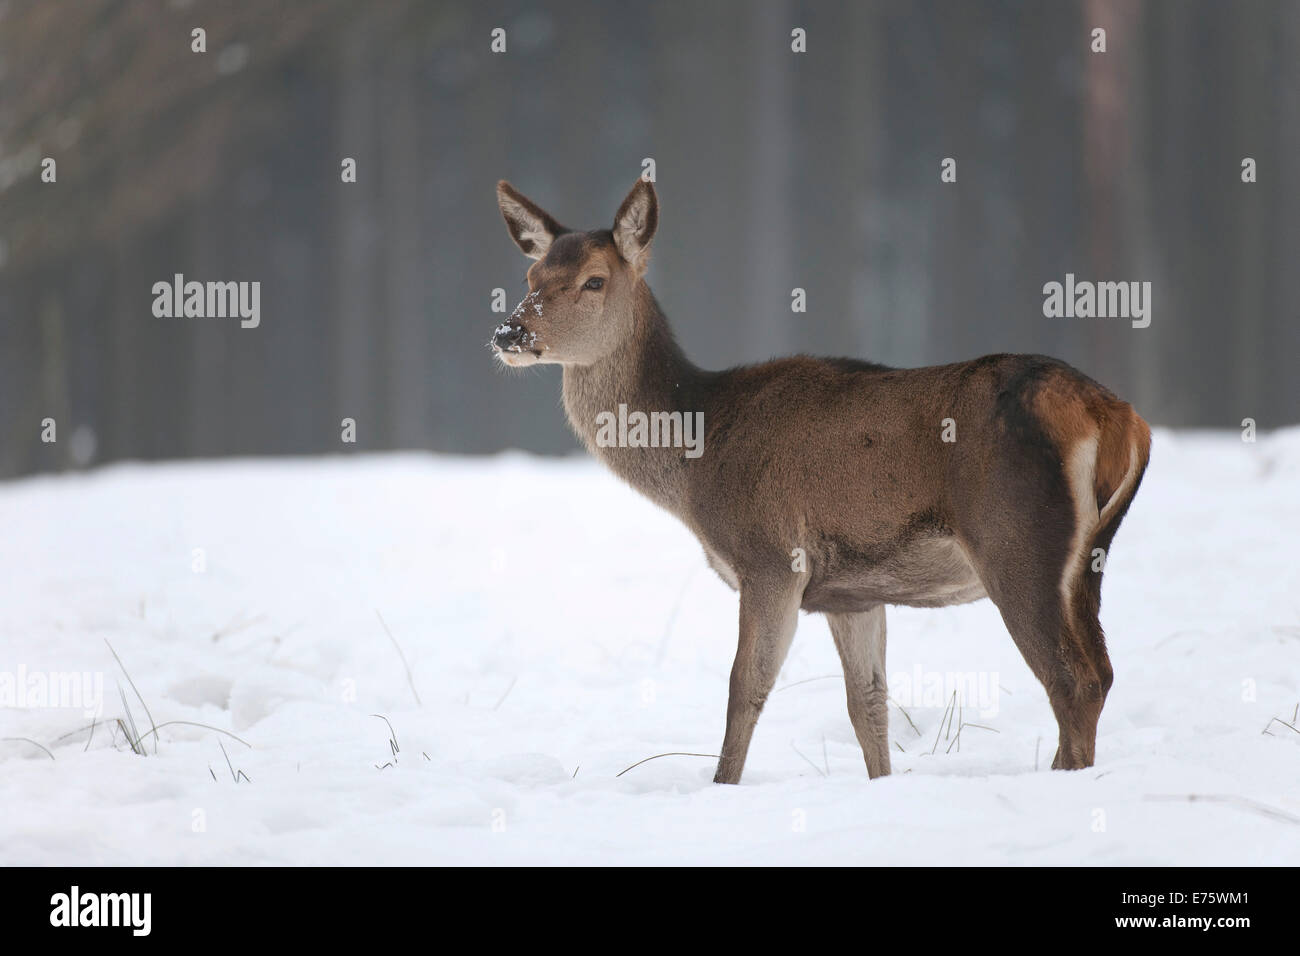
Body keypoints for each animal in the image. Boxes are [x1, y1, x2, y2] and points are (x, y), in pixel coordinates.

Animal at [492, 177, 1151, 784]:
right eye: (530, 279)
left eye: (594, 280)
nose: (509, 333)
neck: (695, 462)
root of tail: (1120, 418)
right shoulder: (852, 595)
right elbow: (869, 706)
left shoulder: (771, 557)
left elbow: (745, 689)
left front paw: (721, 786)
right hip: (1086, 561)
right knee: (1102, 673)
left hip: (1016, 541)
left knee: (1072, 681)